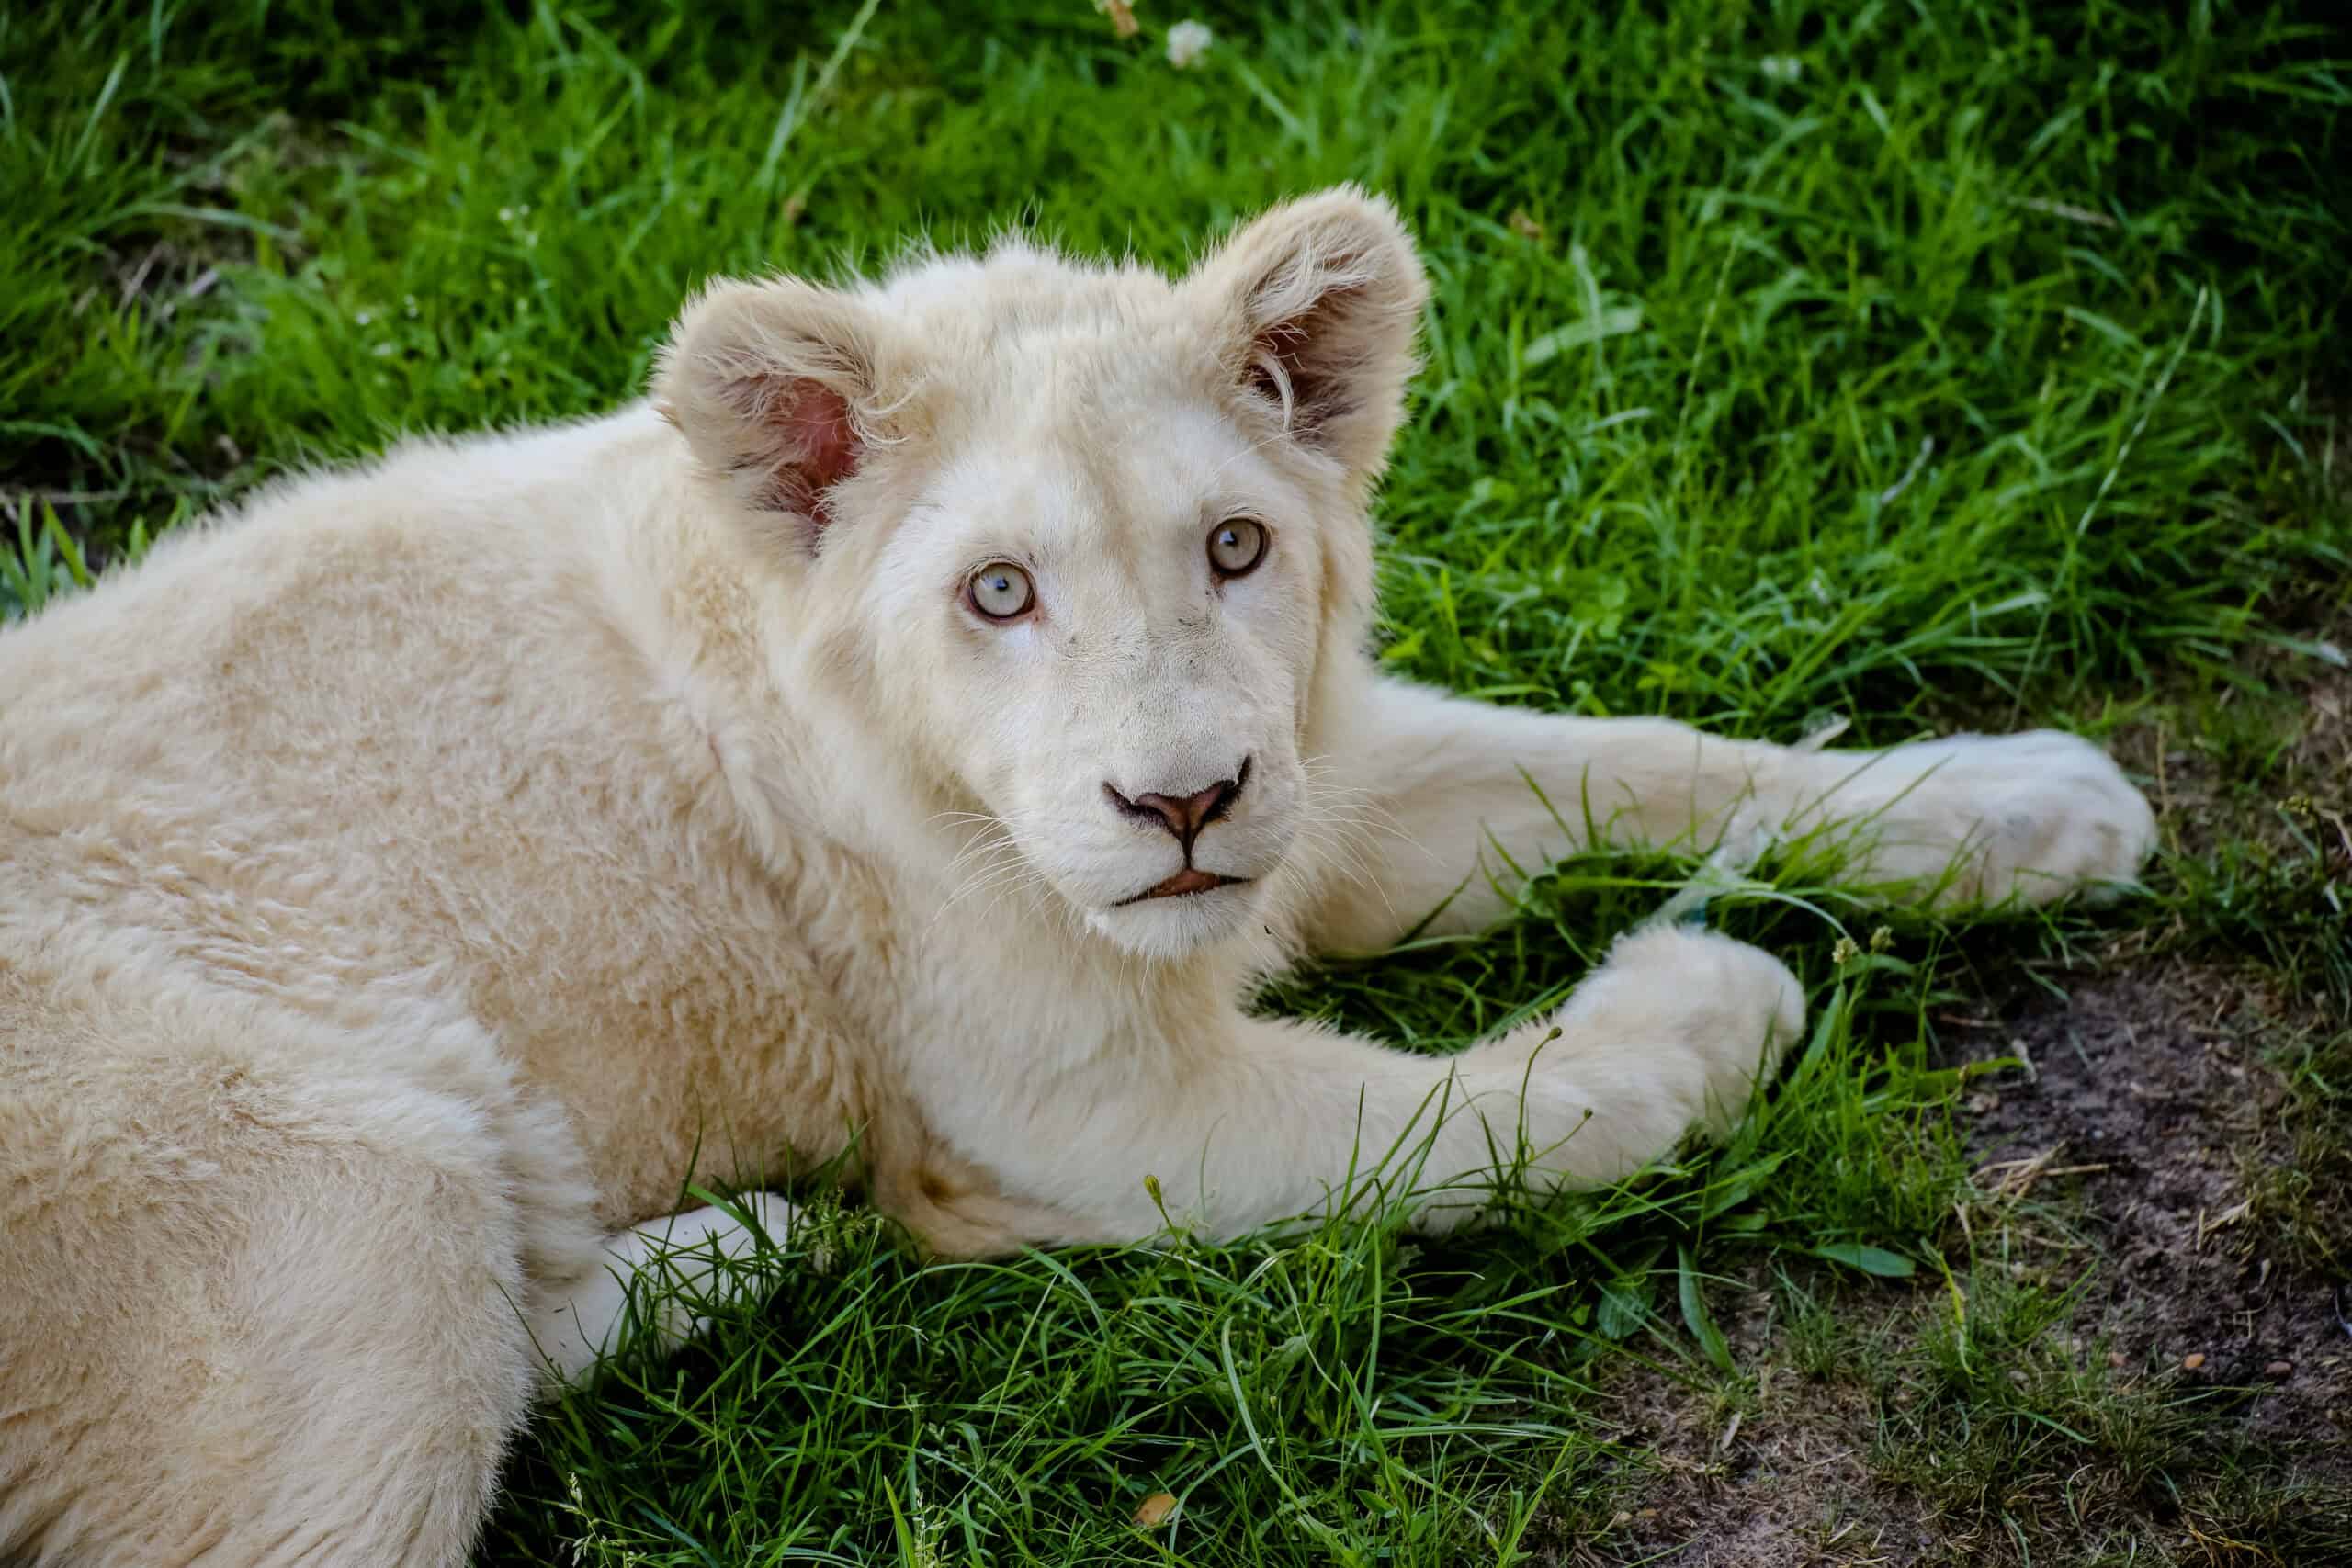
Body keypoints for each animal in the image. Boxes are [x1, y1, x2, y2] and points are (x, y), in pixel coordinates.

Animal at [0, 187, 2153, 1565]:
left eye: (1232, 547)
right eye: (999, 592)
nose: (1182, 801)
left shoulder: (1319, 790)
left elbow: (1644, 755)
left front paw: (2031, 806)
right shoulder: (1087, 1112)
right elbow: (1495, 1114)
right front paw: (1715, 996)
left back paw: (738, 1247)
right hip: (341, 1194)